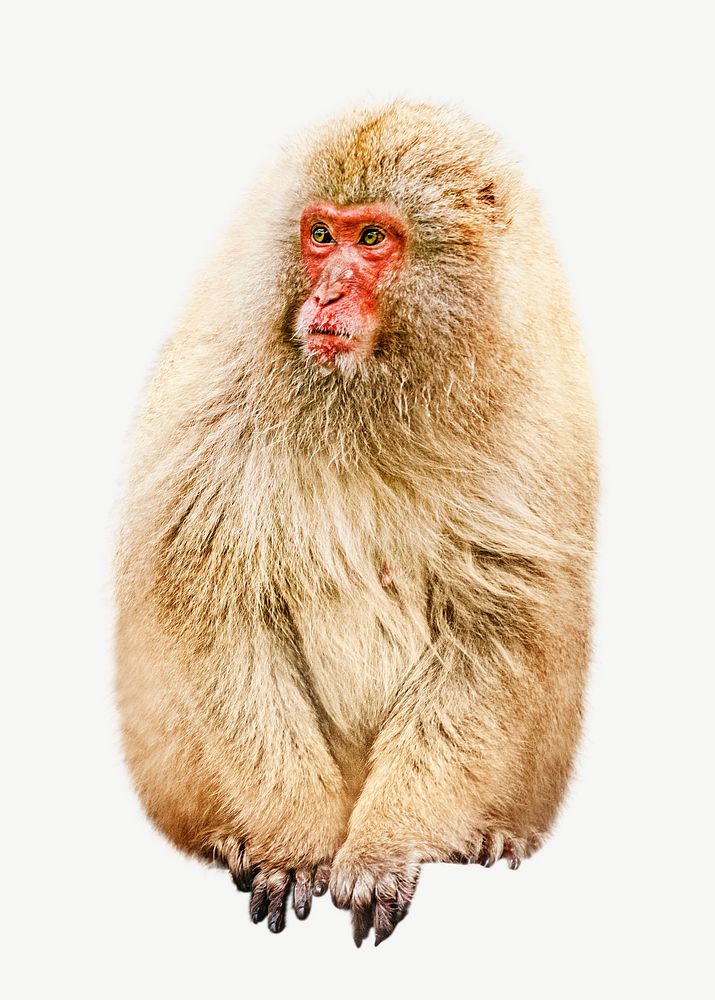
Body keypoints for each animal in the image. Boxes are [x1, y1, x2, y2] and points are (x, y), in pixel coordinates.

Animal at [115, 101, 598, 947]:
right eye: (320, 235)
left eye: (372, 238)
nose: (329, 295)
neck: (370, 395)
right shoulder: (213, 399)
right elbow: (218, 614)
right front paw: (295, 842)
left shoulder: (532, 427)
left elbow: (494, 633)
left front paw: (385, 846)